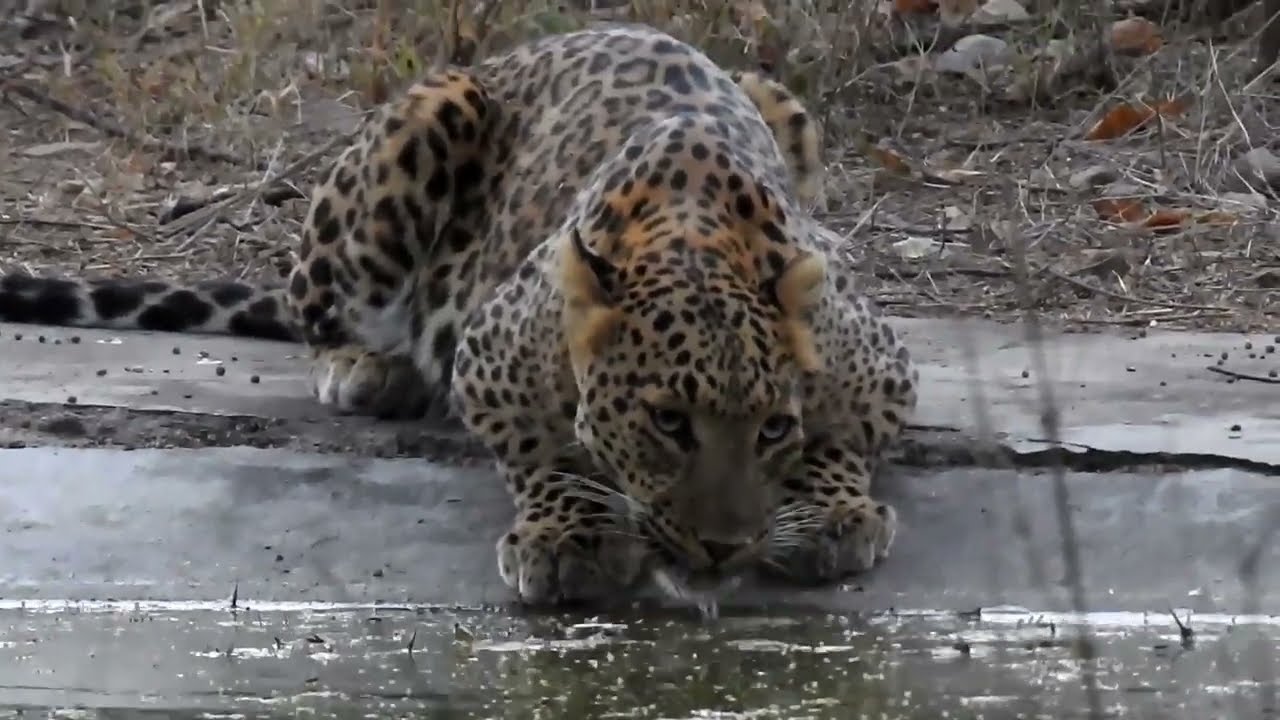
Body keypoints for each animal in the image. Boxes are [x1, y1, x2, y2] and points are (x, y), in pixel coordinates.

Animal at [0, 23, 918, 607]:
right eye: (667, 422)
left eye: (772, 427)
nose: (725, 547)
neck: (701, 231)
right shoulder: (490, 354)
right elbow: (544, 449)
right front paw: (572, 537)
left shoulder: (880, 362)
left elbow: (841, 437)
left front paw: (831, 512)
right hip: (425, 118)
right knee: (316, 314)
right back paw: (367, 369)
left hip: (784, 101)